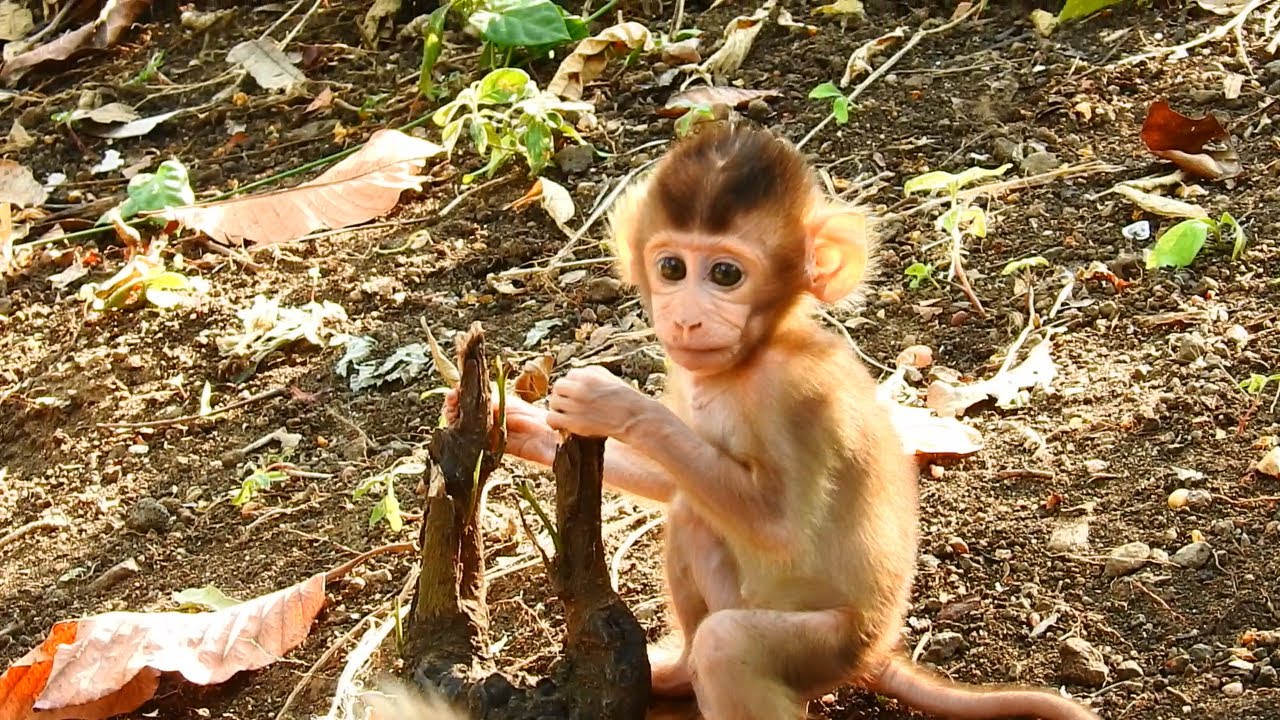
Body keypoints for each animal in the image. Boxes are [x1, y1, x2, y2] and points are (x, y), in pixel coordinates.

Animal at [450, 122, 1099, 720]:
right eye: (671, 267)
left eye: (725, 275)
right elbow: (670, 480)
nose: (685, 319)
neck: (747, 363)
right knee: (691, 516)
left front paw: (611, 403)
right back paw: (676, 671)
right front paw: (525, 427)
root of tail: (878, 651)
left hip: (826, 647)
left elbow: (781, 529)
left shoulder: (798, 396)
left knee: (728, 644)